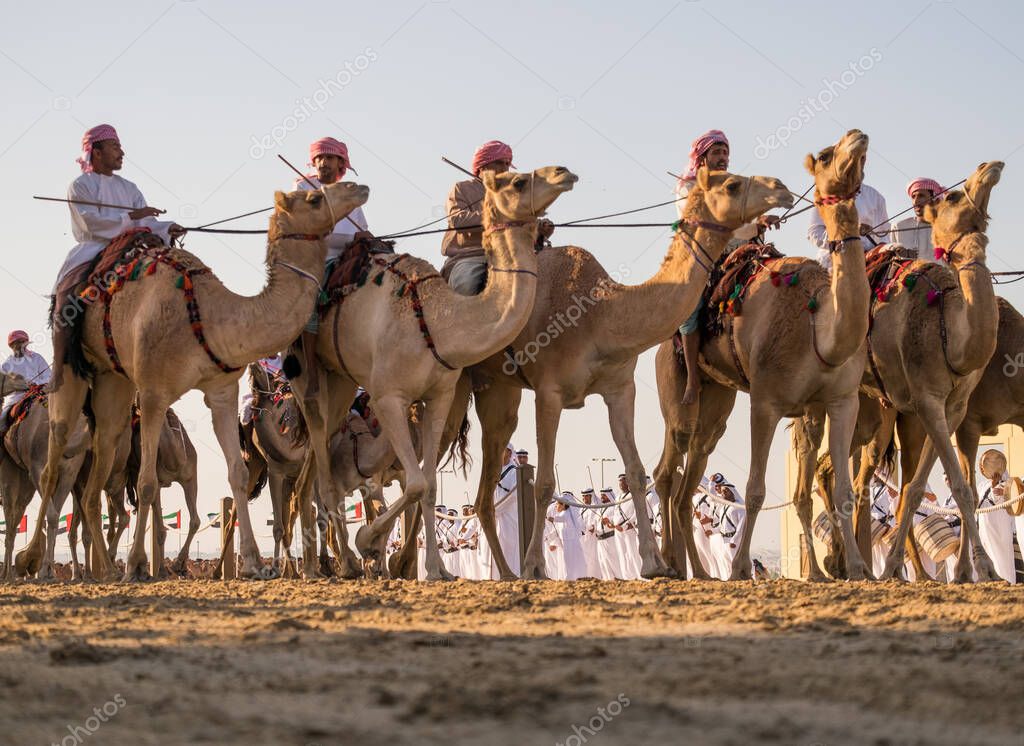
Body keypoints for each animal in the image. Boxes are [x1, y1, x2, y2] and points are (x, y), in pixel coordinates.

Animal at [18, 180, 370, 581]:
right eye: (312, 197)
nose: (358, 187)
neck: (209, 315)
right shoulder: (153, 393)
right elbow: (148, 483)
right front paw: (136, 564)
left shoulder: (221, 390)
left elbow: (236, 473)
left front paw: (252, 563)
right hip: (70, 369)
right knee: (52, 464)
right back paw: (33, 561)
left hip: (113, 384)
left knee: (99, 466)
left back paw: (105, 569)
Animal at [287, 166, 578, 581]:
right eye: (517, 181)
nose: (562, 172)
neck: (439, 322)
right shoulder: (389, 398)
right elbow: (413, 483)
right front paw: (369, 544)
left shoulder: (440, 396)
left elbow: (426, 486)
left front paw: (436, 570)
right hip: (307, 377)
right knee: (323, 478)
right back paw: (340, 564)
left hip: (341, 384)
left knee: (309, 474)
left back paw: (317, 566)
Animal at [445, 167, 793, 580]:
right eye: (732, 184)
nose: (781, 189)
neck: (601, 313)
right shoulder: (549, 391)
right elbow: (544, 483)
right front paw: (534, 566)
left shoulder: (620, 388)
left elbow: (638, 471)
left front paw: (654, 563)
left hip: (499, 393)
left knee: (485, 488)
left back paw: (504, 572)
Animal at [655, 129, 874, 581]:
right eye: (826, 155)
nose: (857, 135)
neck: (819, 327)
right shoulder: (766, 400)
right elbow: (755, 489)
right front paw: (740, 568)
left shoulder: (842, 400)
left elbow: (842, 488)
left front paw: (855, 568)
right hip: (675, 388)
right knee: (667, 470)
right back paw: (669, 565)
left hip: (717, 402)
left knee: (691, 472)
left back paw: (699, 571)